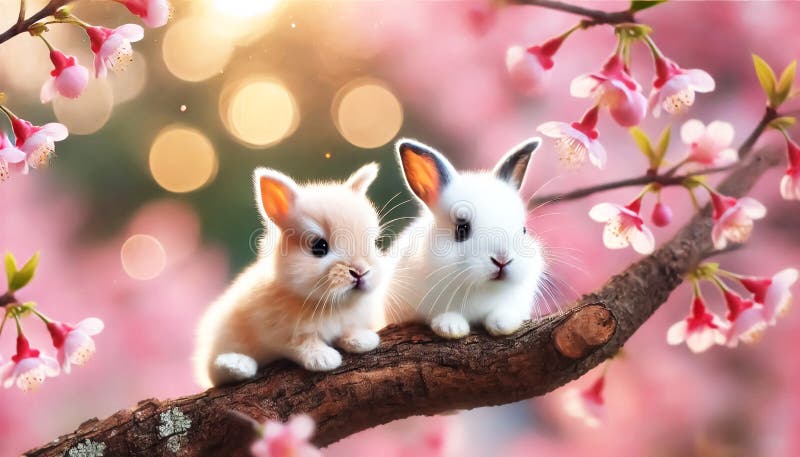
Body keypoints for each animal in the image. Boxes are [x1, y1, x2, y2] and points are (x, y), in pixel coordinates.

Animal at [194, 163, 388, 387]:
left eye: (373, 242)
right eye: (319, 247)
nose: (360, 271)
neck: (330, 304)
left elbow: (350, 330)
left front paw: (363, 340)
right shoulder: (282, 333)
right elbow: (303, 343)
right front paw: (323, 359)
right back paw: (237, 365)